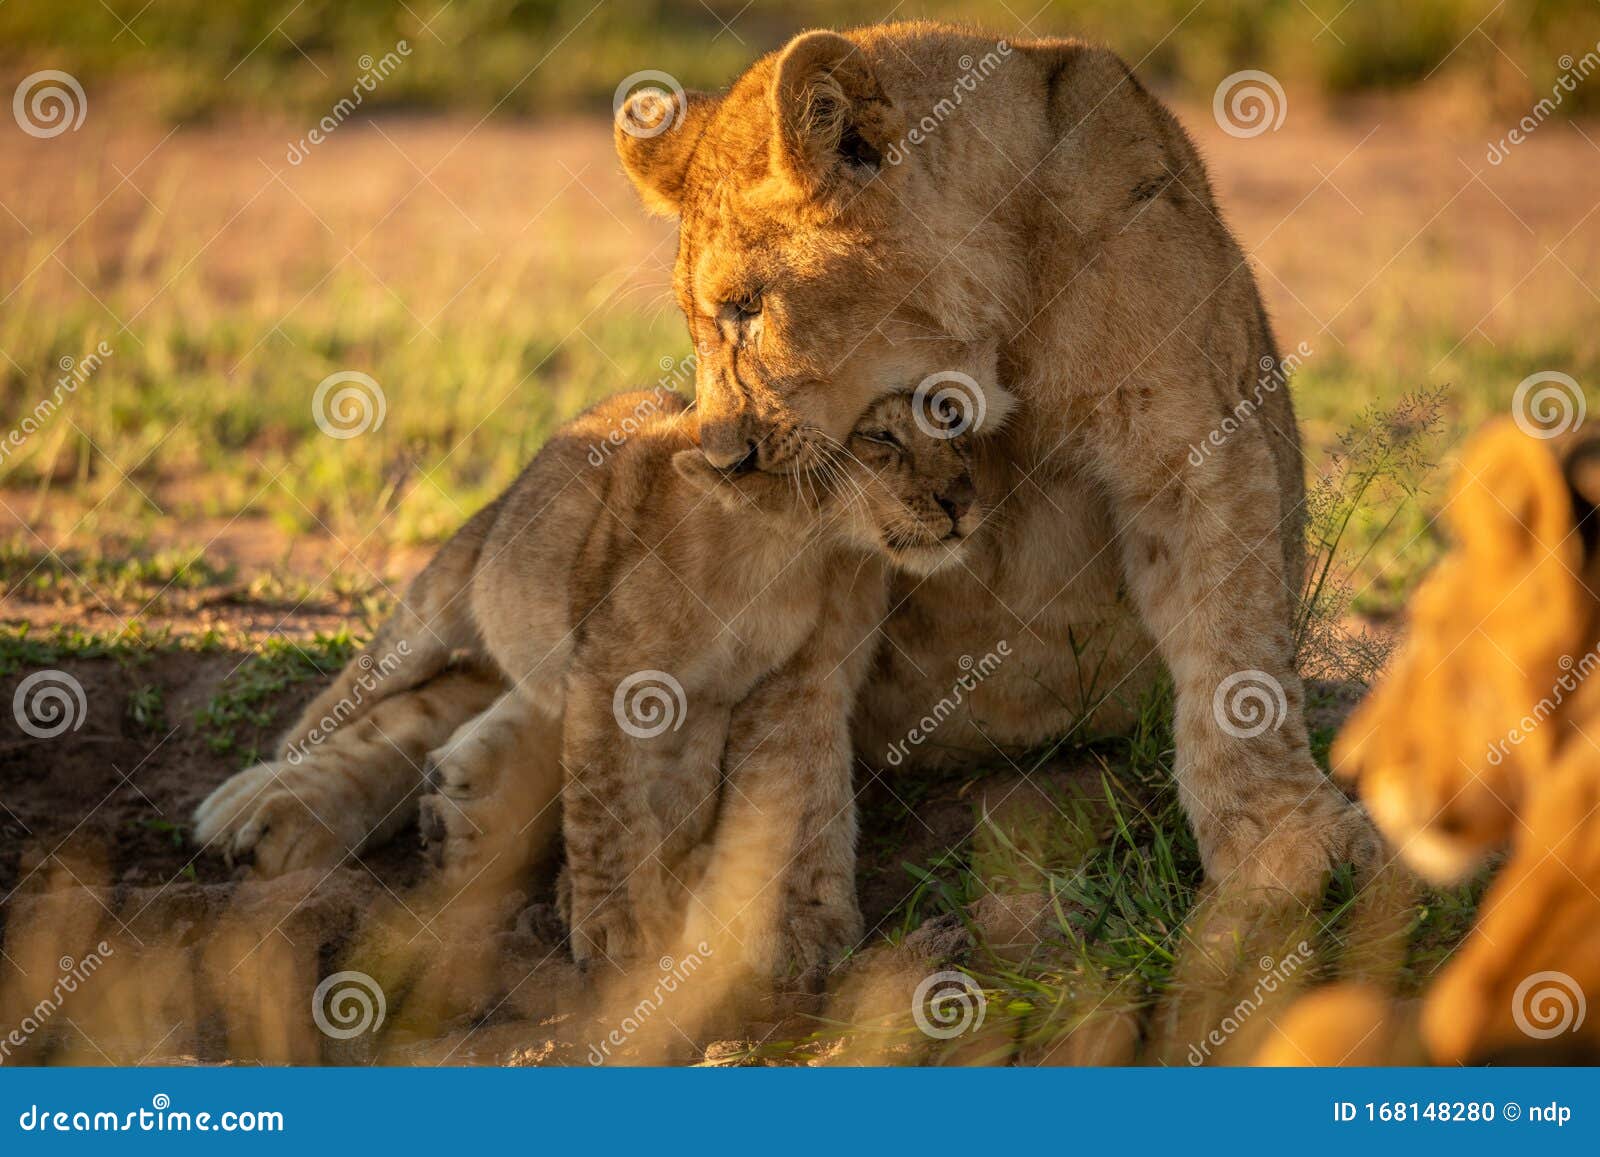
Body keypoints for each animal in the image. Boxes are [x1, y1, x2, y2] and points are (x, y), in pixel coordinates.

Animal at [195, 388, 987, 972]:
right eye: (881, 440)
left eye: (956, 431)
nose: (964, 501)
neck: (781, 555)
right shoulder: (613, 673)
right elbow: (603, 800)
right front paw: (614, 922)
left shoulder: (748, 686)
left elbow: (718, 794)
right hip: (444, 591)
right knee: (364, 688)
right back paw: (273, 785)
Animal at [609, 21, 1373, 894]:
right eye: (696, 325)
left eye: (747, 308)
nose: (725, 458)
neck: (999, 347)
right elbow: (791, 723)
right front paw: (782, 901)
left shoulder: (1196, 447)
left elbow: (1236, 653)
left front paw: (1289, 845)